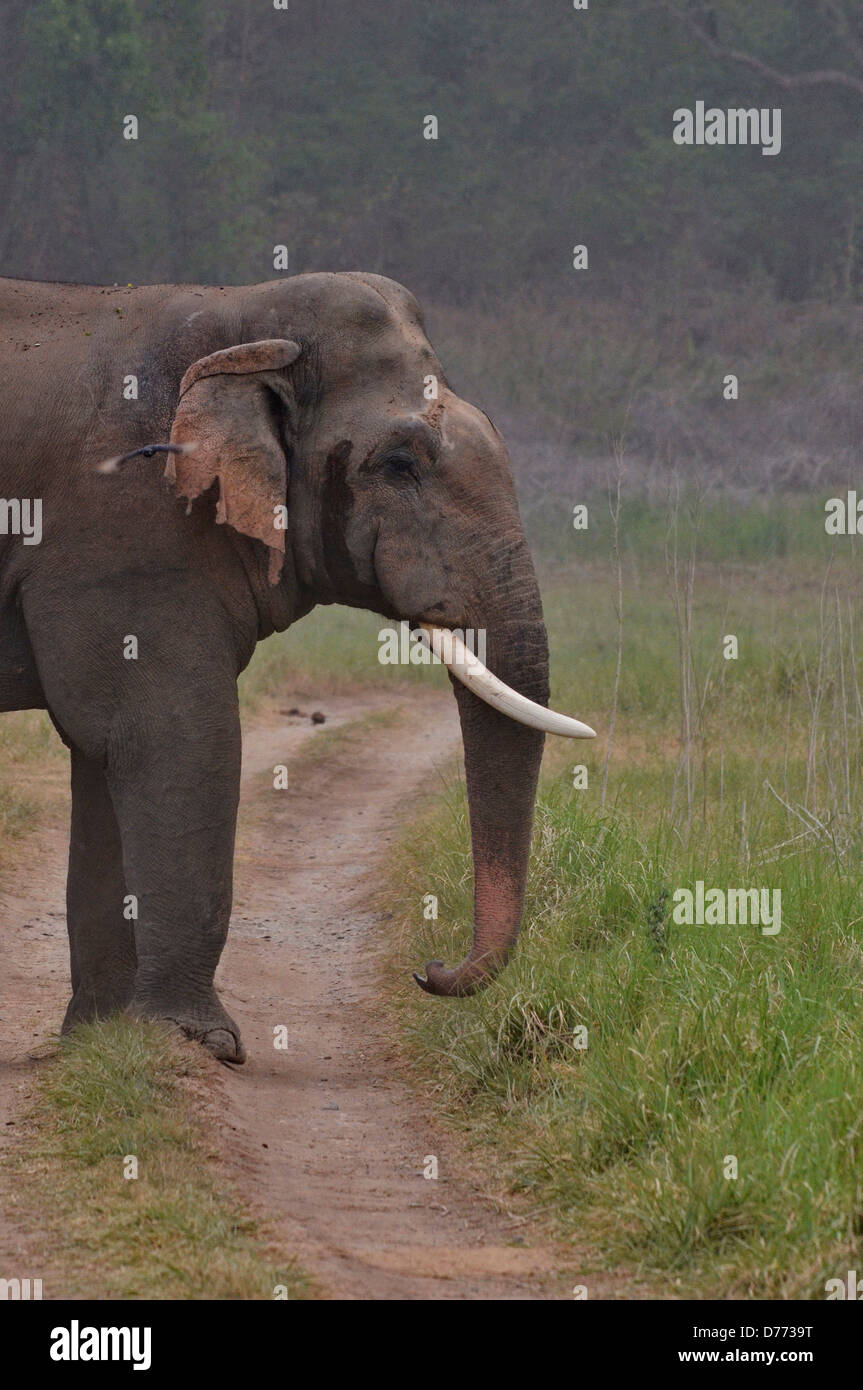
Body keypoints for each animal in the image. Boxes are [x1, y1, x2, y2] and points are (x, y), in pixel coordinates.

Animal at [0, 271, 593, 1062]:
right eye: (399, 465)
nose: (429, 969)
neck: (241, 317)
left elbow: (106, 751)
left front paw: (99, 1047)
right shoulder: (122, 532)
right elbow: (175, 739)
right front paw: (203, 1043)